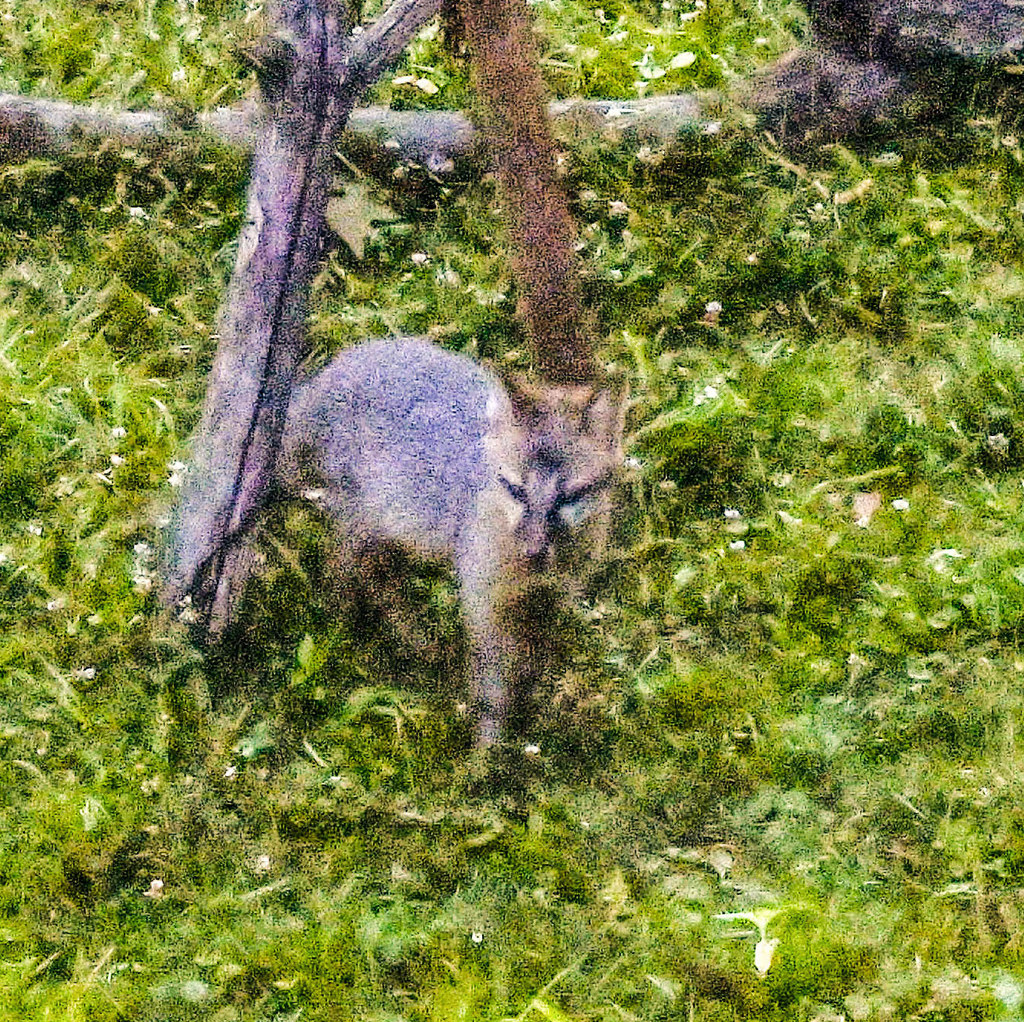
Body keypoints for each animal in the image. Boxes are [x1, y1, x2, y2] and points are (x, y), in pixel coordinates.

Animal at [271, 336, 626, 745]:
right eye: (516, 490)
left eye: (571, 496)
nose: (533, 551)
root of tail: (326, 375)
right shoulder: (483, 604)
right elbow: (492, 684)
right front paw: (488, 749)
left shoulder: (550, 602)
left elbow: (534, 664)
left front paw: (531, 714)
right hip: (364, 524)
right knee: (349, 574)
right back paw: (358, 629)